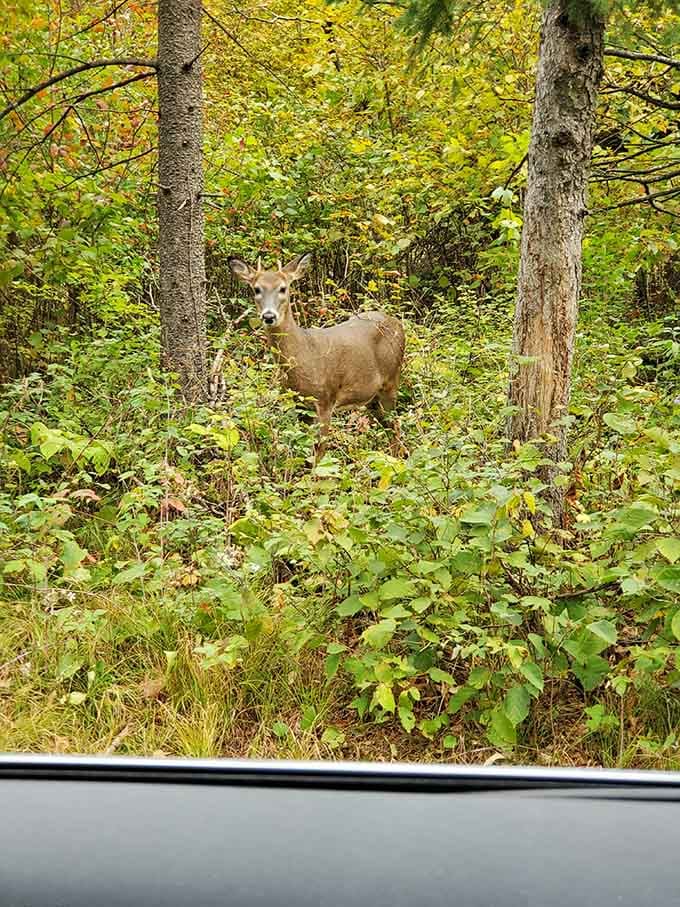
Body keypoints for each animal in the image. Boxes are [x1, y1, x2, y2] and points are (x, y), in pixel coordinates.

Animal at [229, 252, 406, 462]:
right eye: (257, 289)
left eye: (283, 288)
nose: (269, 316)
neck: (305, 353)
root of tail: (398, 323)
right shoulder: (299, 405)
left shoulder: (326, 398)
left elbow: (319, 451)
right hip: (372, 398)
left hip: (391, 381)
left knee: (396, 425)